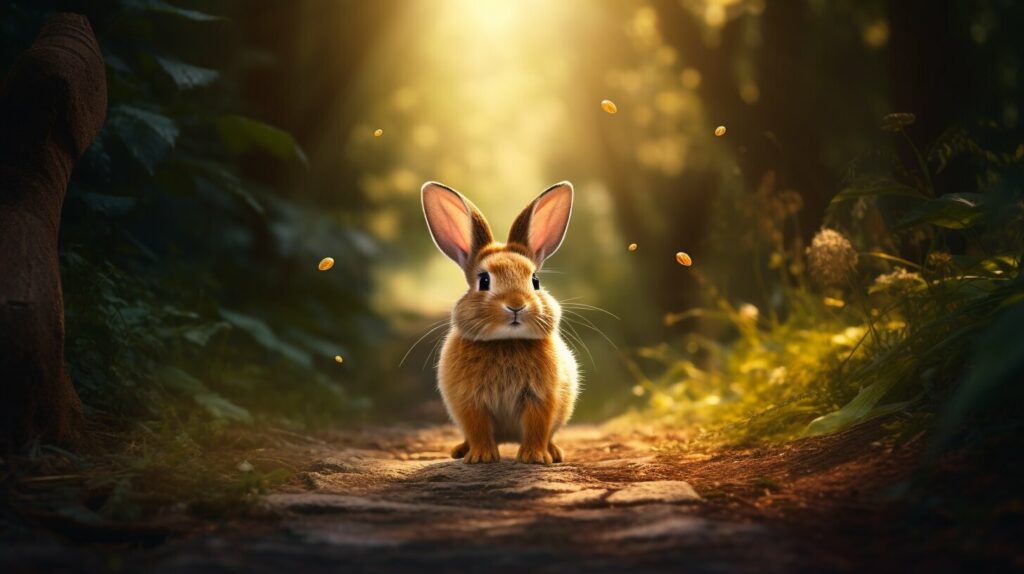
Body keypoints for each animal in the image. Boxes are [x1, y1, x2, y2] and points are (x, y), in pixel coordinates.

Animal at [421, 181, 579, 464]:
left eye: (535, 281)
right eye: (484, 280)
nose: (516, 305)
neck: (506, 341)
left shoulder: (541, 398)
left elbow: (537, 426)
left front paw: (534, 457)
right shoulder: (470, 402)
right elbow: (478, 428)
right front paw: (482, 457)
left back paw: (554, 452)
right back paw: (461, 451)